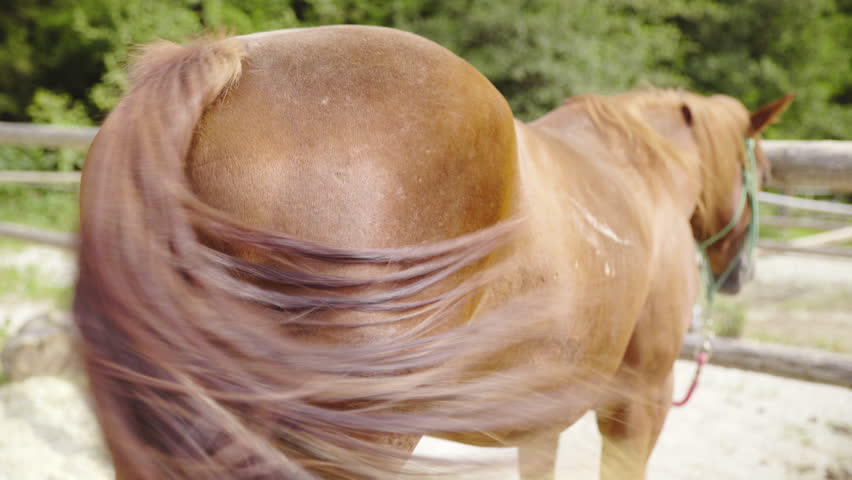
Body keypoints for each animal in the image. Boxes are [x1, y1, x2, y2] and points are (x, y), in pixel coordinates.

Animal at [73, 25, 792, 480]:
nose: (743, 274)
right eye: (762, 167)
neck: (642, 172)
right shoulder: (637, 406)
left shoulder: (541, 417)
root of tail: (225, 70)